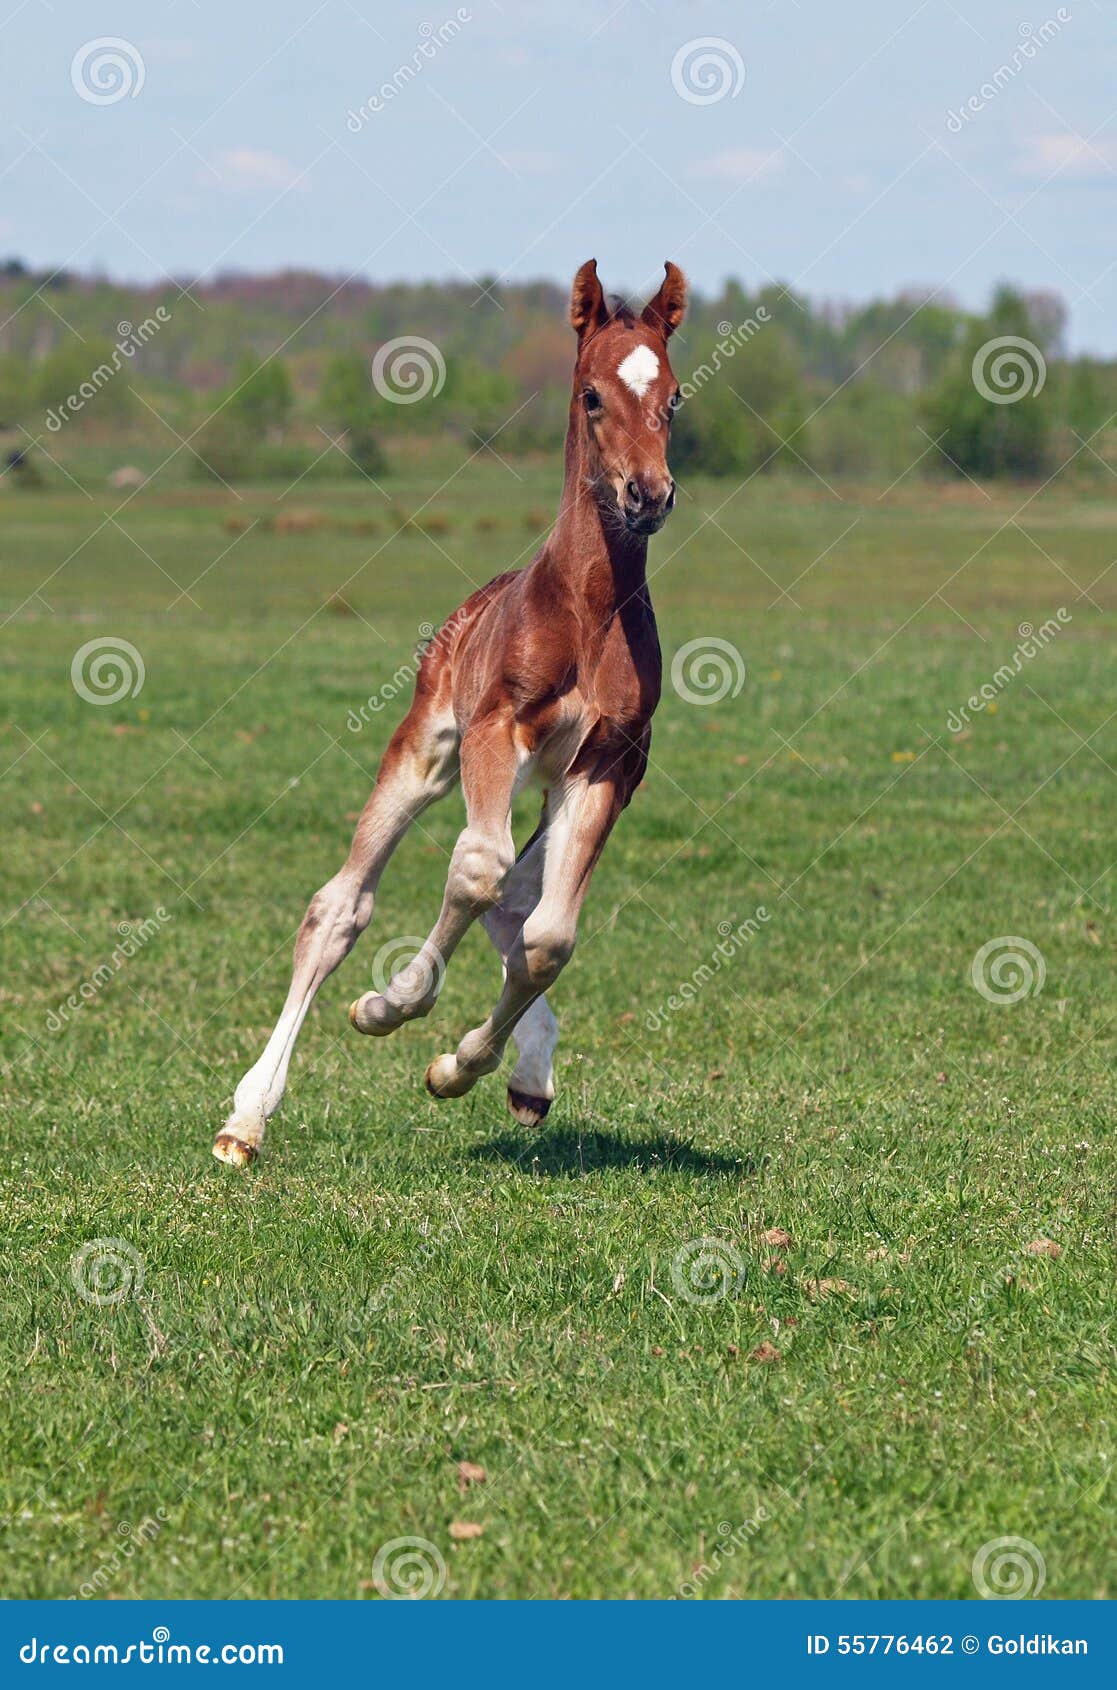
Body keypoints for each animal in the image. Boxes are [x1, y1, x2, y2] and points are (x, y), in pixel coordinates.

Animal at [213, 258, 688, 1166]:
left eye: (675, 397)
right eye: (591, 394)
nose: (647, 496)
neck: (587, 607)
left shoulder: (609, 762)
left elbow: (546, 935)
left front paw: (459, 1065)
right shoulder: (496, 729)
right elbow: (472, 870)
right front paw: (388, 1004)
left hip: (547, 783)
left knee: (519, 903)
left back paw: (527, 1074)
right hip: (427, 747)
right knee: (341, 906)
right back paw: (246, 1119)